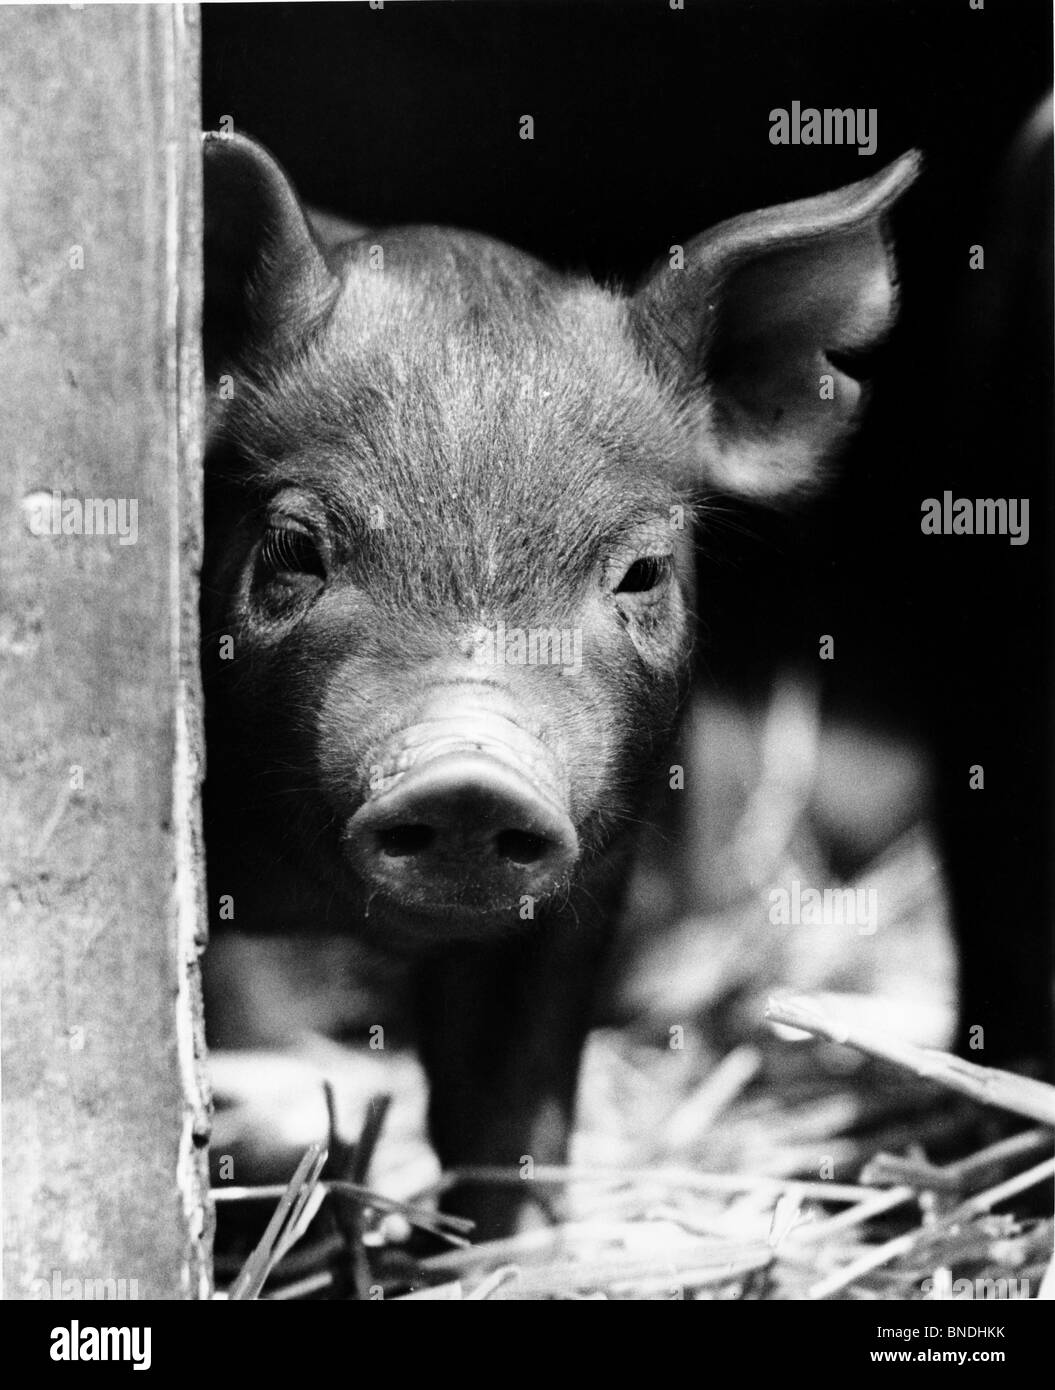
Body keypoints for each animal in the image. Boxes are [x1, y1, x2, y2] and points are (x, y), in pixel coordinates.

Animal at [201, 131, 919, 1238]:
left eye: (641, 572)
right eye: (292, 548)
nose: (468, 773)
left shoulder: (593, 874)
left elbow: (508, 1093)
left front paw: (513, 1246)